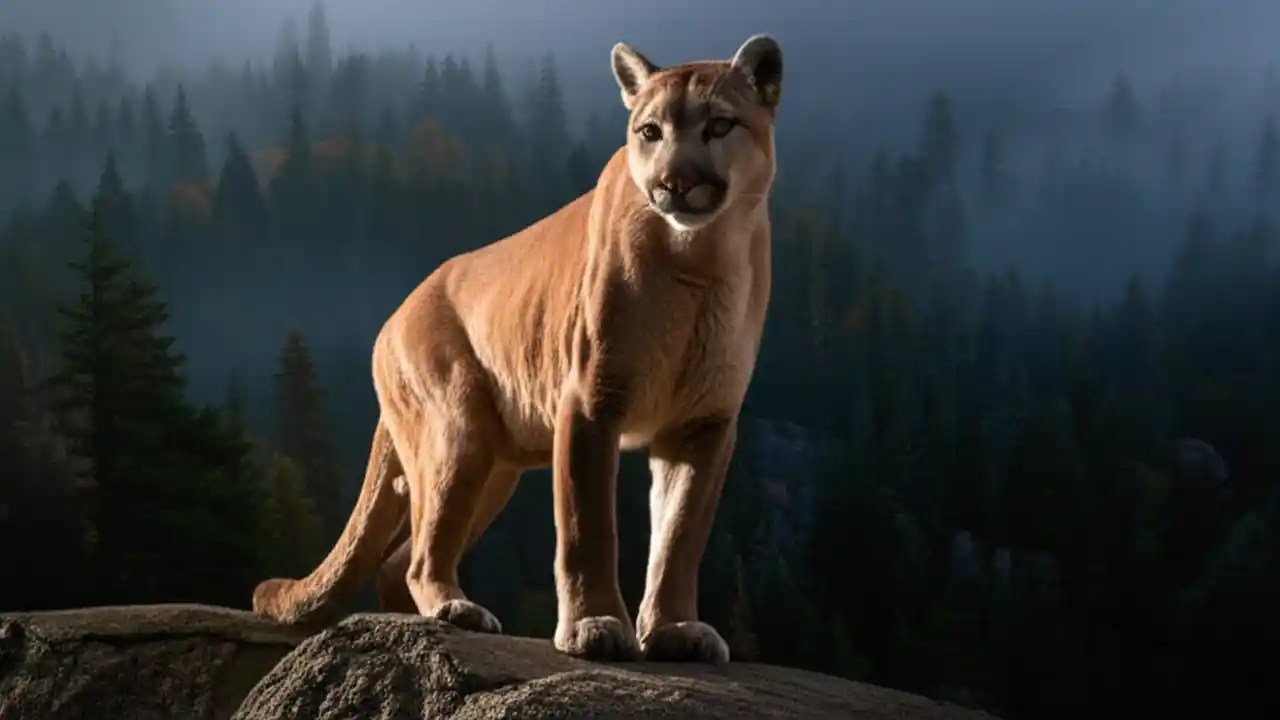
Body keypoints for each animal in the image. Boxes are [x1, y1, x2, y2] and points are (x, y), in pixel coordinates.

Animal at [252, 34, 784, 663]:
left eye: (720, 124)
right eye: (649, 131)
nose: (673, 183)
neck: (698, 259)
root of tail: (394, 316)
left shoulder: (702, 424)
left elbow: (679, 537)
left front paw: (676, 629)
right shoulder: (590, 401)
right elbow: (586, 525)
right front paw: (595, 625)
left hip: (495, 467)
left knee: (399, 559)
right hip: (457, 430)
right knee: (423, 552)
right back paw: (455, 609)